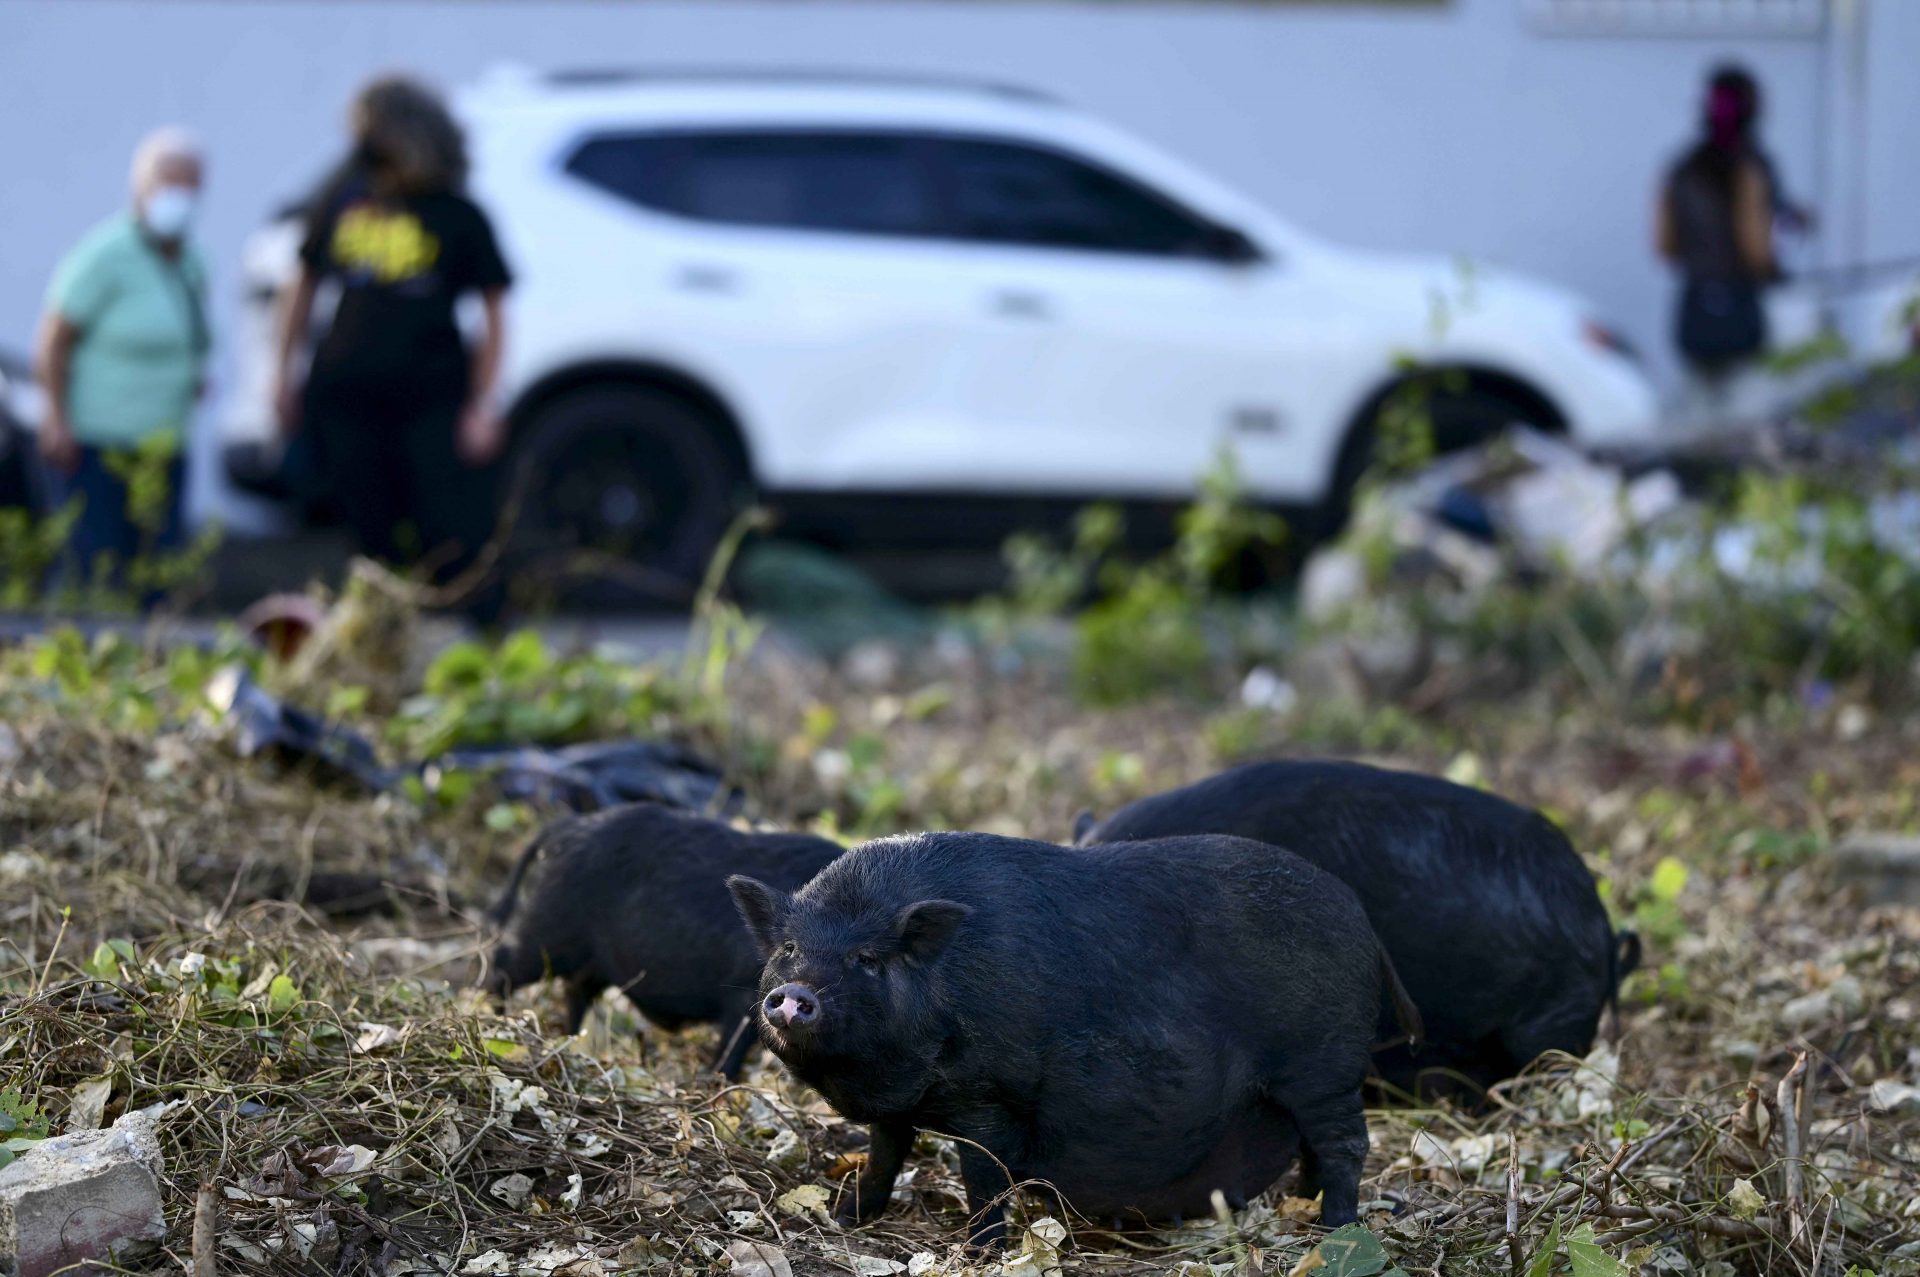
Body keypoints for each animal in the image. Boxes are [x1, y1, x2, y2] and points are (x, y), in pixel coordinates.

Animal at [486, 802, 843, 1078]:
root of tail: (568, 827)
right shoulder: (743, 996)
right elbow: (732, 1049)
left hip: (592, 961)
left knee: (575, 990)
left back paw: (568, 1041)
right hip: (549, 929)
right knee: (506, 961)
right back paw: (493, 1017)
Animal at [727, 831, 1420, 1248]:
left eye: (867, 960)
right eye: (788, 949)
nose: (794, 994)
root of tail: (1364, 924)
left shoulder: (990, 1098)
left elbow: (983, 1175)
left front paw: (980, 1250)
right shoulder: (899, 1105)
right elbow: (884, 1156)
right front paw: (847, 1216)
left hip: (1323, 1063)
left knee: (1343, 1143)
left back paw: (1335, 1230)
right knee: (1310, 1146)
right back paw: (1300, 1207)